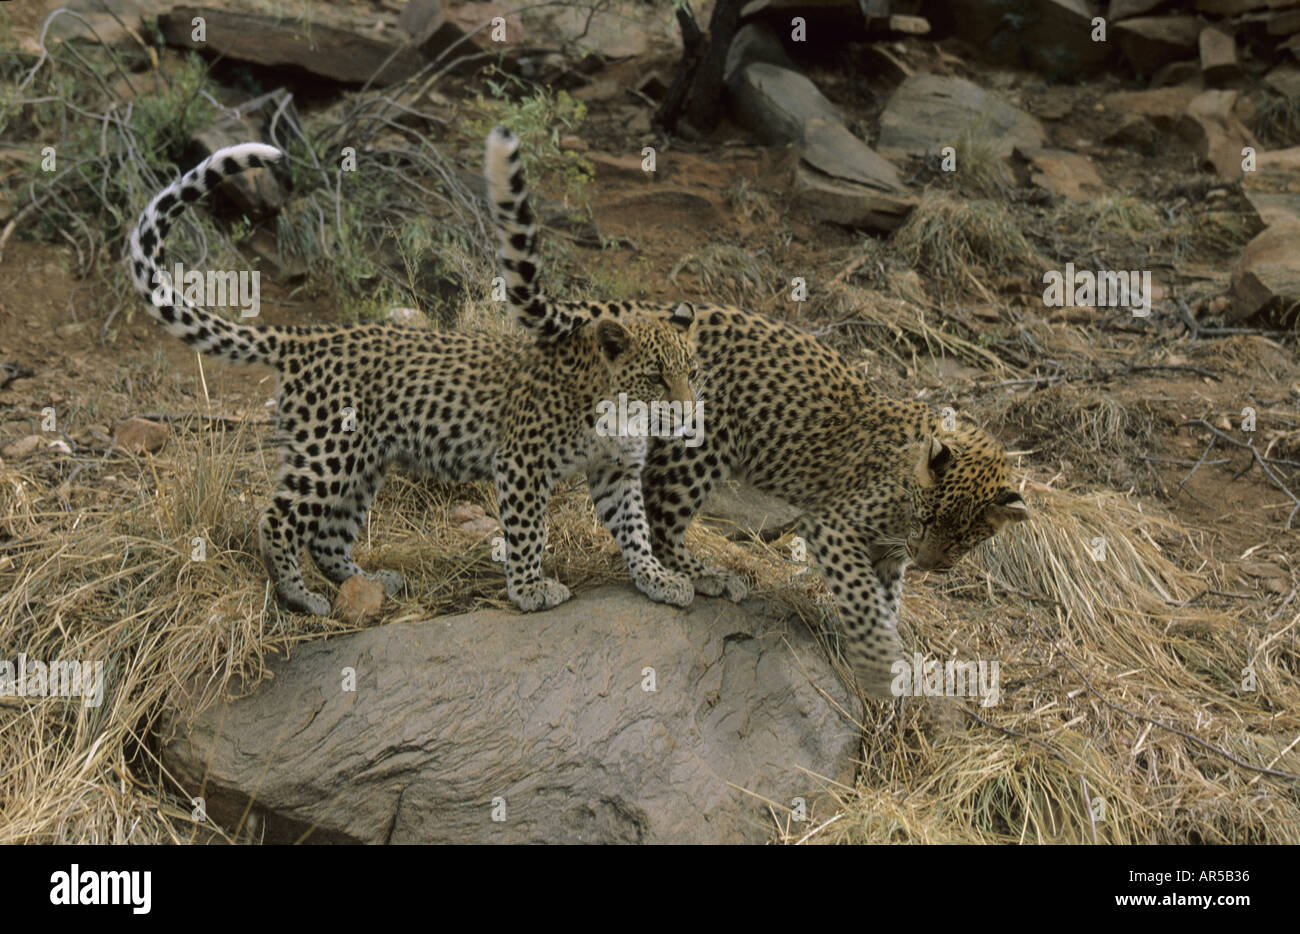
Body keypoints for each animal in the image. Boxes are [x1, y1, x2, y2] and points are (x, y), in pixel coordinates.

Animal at [127, 140, 702, 616]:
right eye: (655, 377)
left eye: (693, 372)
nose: (688, 413)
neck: (617, 411)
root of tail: (304, 338)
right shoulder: (522, 462)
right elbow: (526, 531)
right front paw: (530, 590)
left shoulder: (616, 472)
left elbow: (636, 529)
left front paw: (659, 579)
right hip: (329, 453)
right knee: (278, 520)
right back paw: (300, 596)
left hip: (362, 461)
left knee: (328, 536)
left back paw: (367, 583)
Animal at [486, 125, 1030, 699]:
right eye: (929, 520)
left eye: (967, 537)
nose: (928, 565)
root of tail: (646, 315)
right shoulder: (834, 525)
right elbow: (862, 597)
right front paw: (884, 668)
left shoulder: (886, 552)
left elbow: (883, 601)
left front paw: (885, 652)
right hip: (696, 450)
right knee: (659, 521)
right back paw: (706, 575)